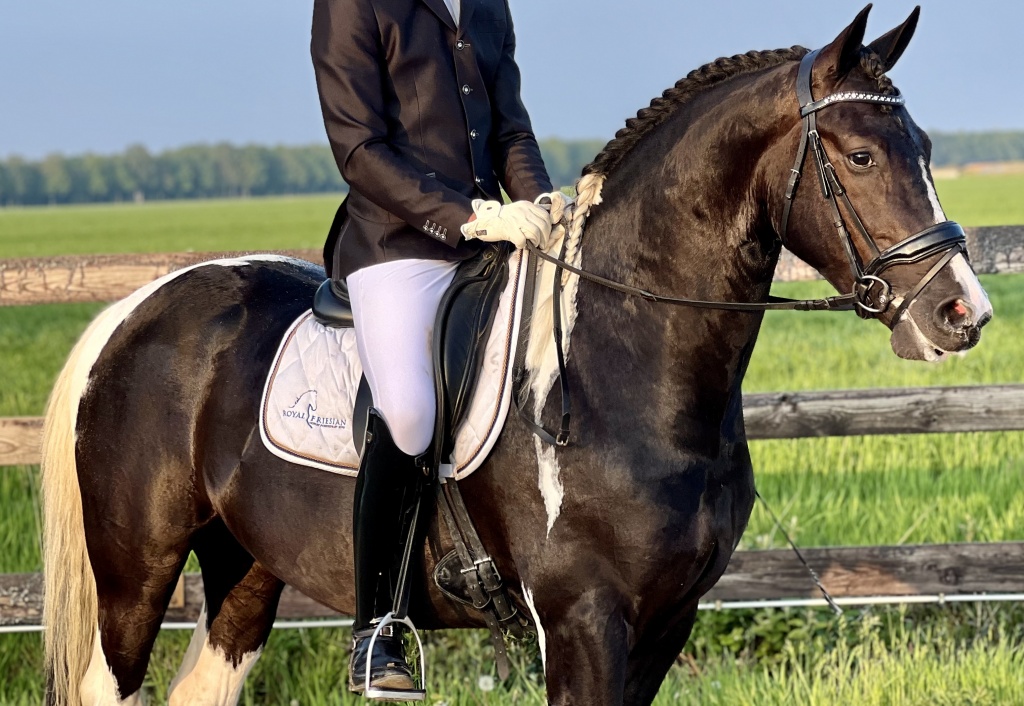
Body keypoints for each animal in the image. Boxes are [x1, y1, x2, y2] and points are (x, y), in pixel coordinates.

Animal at [41, 6, 993, 705]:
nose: (962, 314)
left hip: (244, 570)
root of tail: (140, 306)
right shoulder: (583, 622)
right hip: (133, 575)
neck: (630, 377)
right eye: (860, 155)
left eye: (927, 151)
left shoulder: (666, 622)